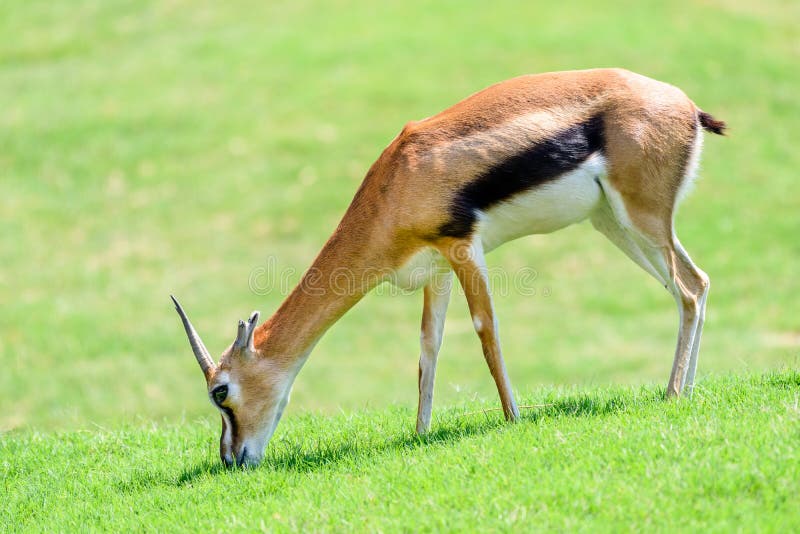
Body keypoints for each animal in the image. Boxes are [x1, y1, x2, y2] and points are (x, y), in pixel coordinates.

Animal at [172, 68, 725, 467]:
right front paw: (419, 433)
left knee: (687, 291)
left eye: (221, 392)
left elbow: (485, 330)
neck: (396, 182)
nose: (230, 459)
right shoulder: (435, 272)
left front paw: (512, 419)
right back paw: (690, 389)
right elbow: (427, 347)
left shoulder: (464, 248)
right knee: (695, 284)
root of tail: (685, 106)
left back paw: (672, 393)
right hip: (614, 224)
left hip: (641, 218)